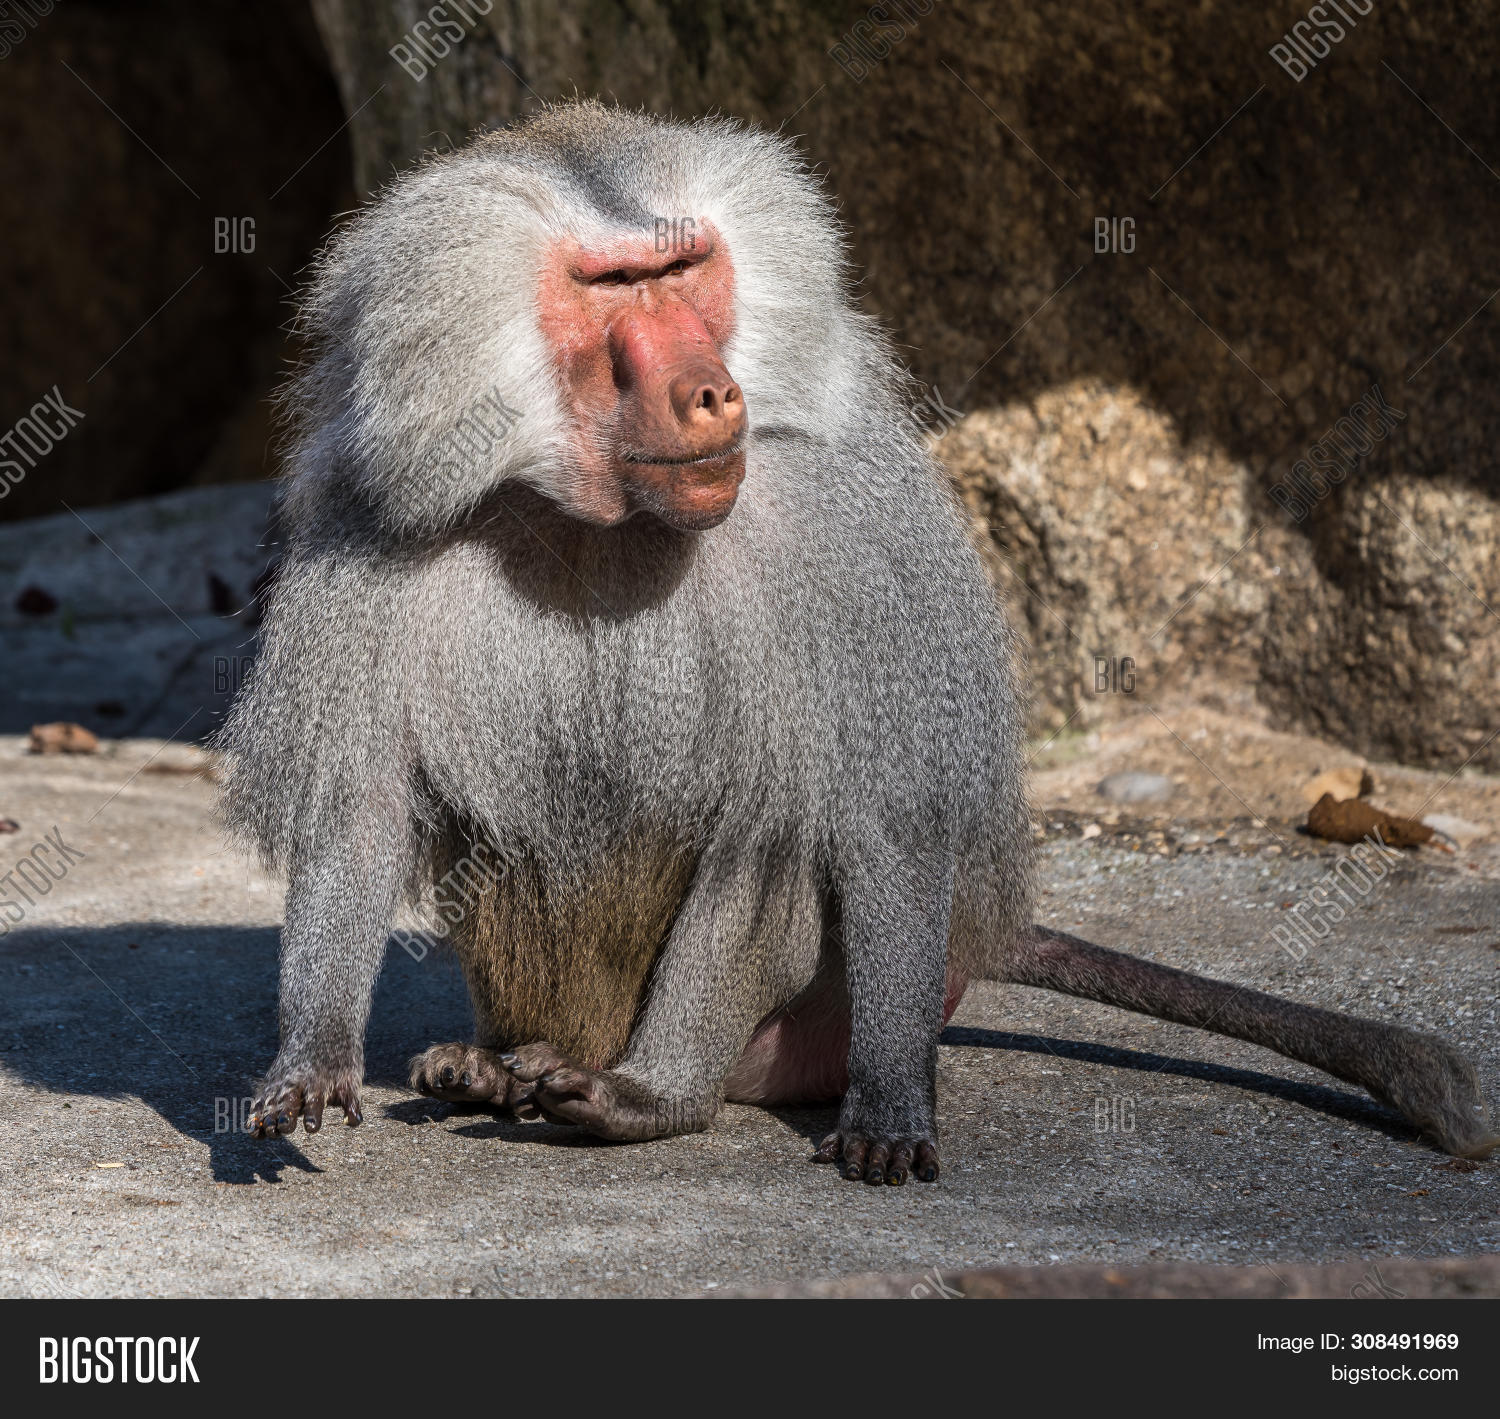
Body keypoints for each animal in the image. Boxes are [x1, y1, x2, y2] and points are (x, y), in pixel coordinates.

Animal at [218, 100, 1497, 1185]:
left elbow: (885, 810)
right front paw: (312, 1060)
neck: (598, 521)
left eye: (685, 271)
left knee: (780, 812)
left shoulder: (850, 525)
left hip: (800, 1033)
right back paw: (497, 1064)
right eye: (613, 285)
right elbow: (363, 806)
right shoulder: (370, 534)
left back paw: (643, 1097)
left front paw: (888, 1109)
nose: (710, 396)